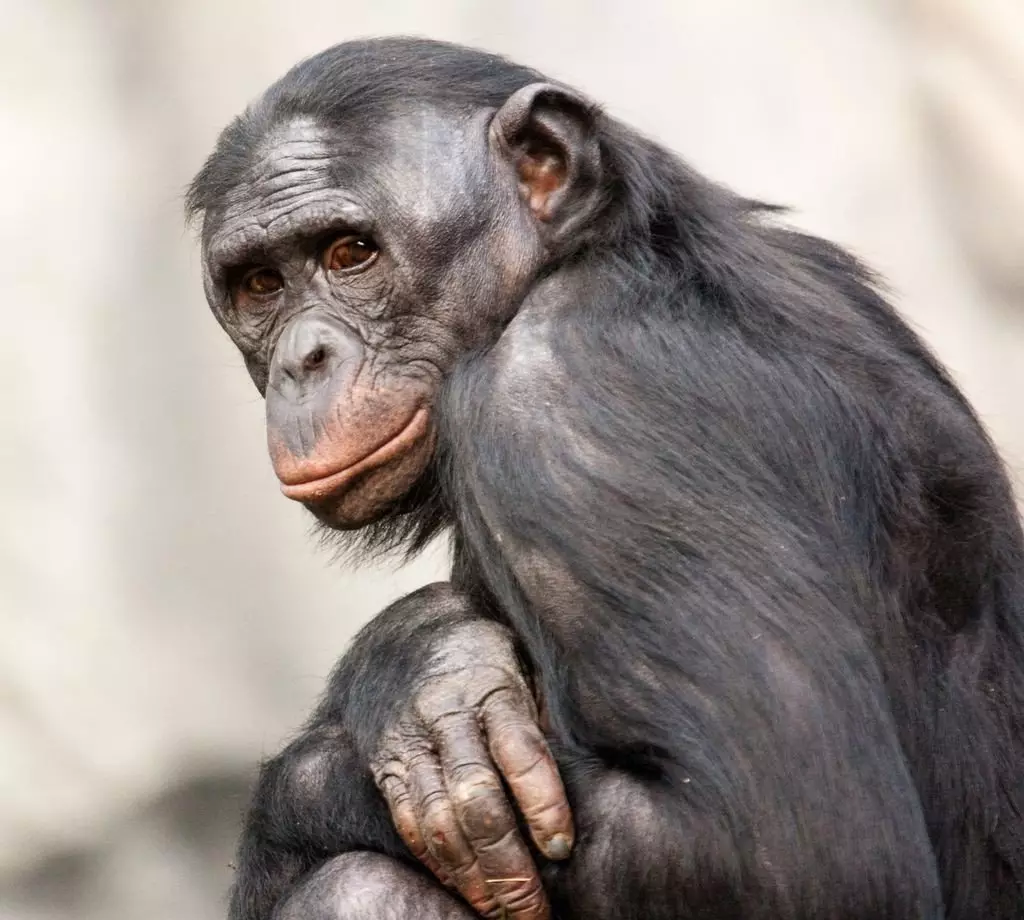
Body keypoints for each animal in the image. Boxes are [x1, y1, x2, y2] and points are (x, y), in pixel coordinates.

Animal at [186, 37, 1024, 917]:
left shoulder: (571, 410)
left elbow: (793, 852)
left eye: (350, 254)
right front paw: (429, 662)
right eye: (261, 285)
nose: (301, 358)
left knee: (359, 885)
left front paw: (402, 693)